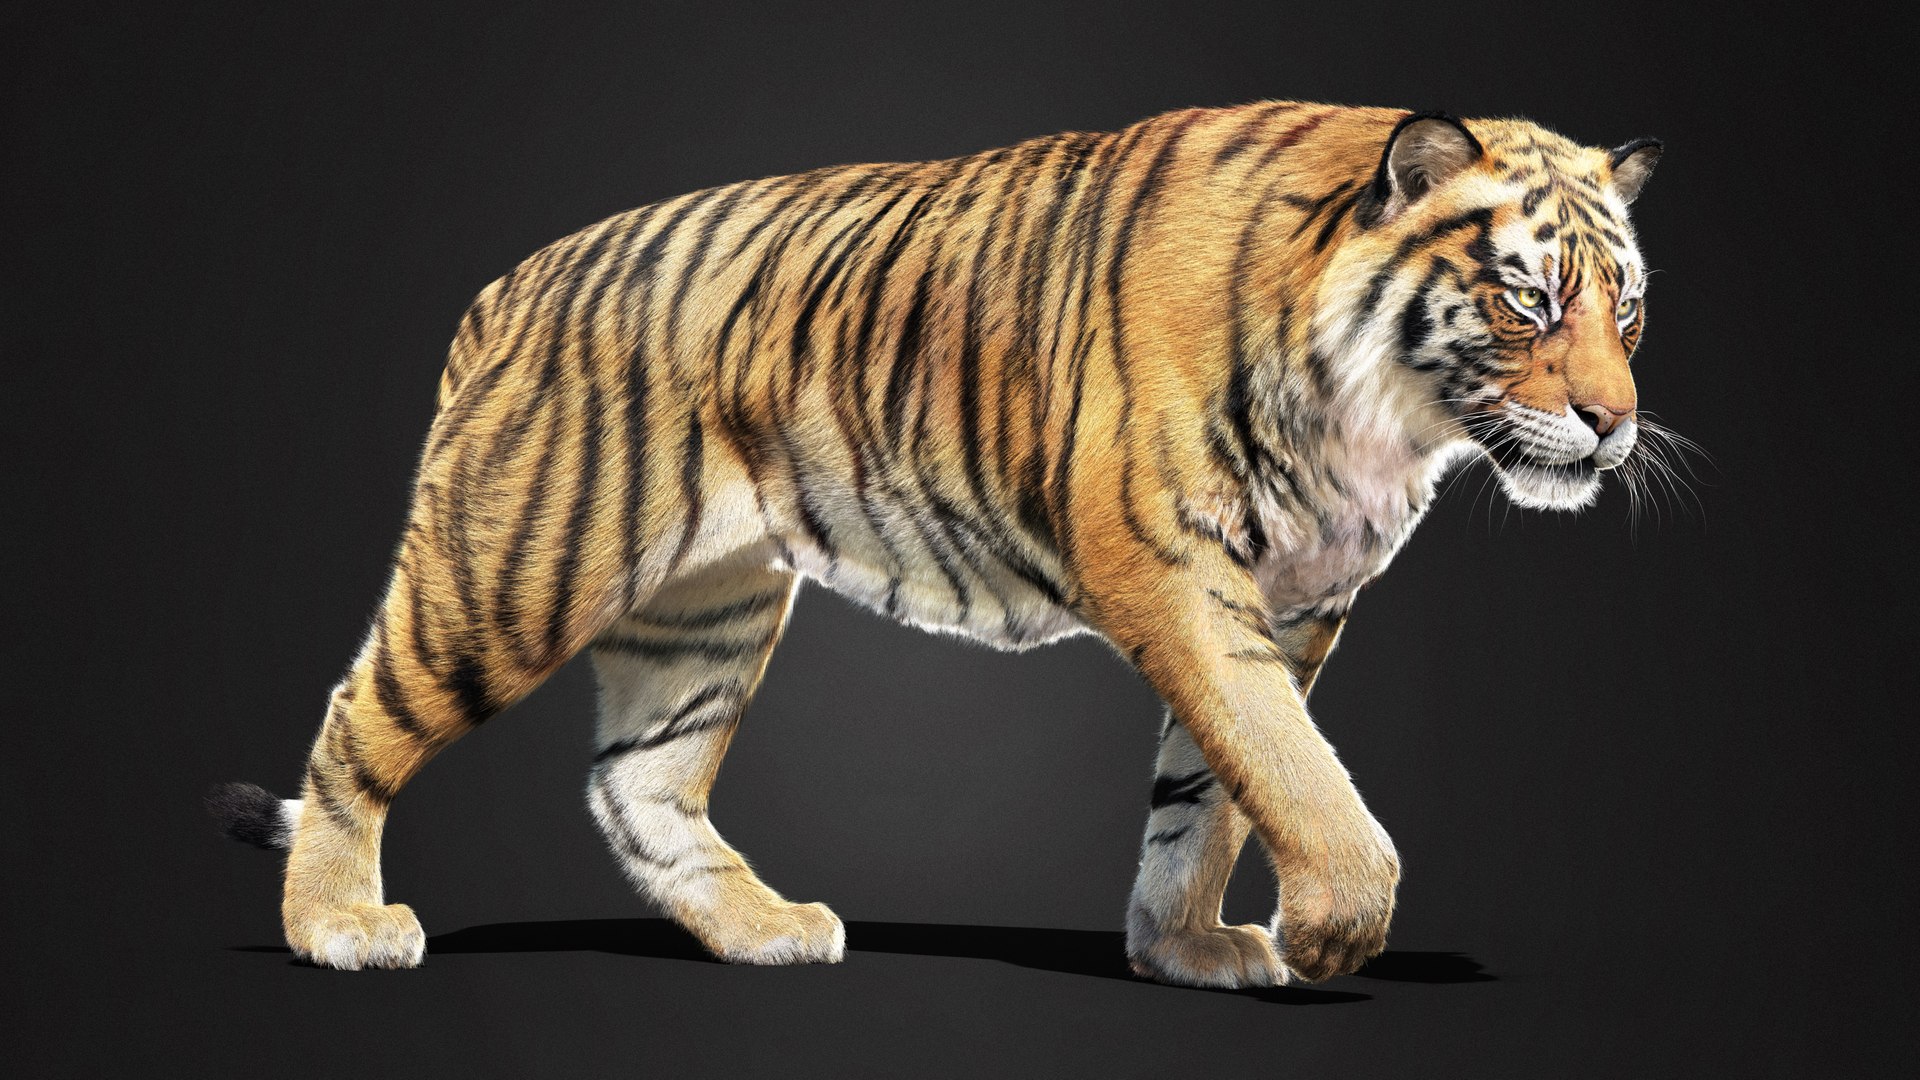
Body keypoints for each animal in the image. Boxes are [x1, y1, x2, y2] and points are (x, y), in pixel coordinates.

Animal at [208, 101, 1663, 988]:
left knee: (640, 783)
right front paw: (1338, 927)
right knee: (357, 719)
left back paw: (766, 931)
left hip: (707, 609)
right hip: (516, 572)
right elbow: (1290, 768)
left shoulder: (1300, 602)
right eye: (1530, 299)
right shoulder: (1177, 568)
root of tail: (505, 287)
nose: (1614, 423)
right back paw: (338, 924)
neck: (1387, 422)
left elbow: (1211, 795)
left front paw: (1184, 947)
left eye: (1630, 308)